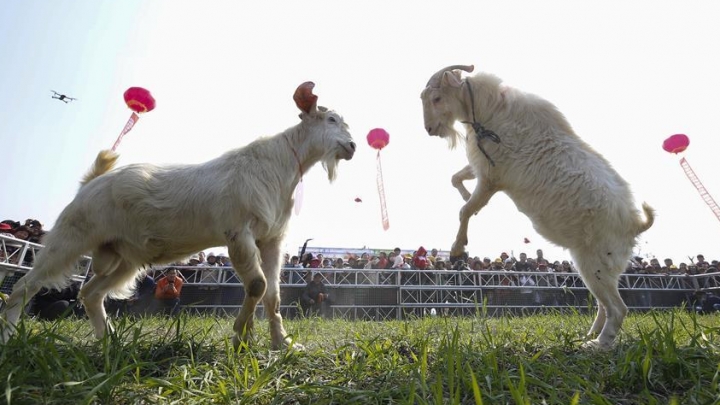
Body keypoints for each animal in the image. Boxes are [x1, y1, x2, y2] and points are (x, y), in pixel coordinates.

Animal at [1, 82, 356, 350]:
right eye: (330, 120)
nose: (352, 146)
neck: (279, 165)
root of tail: (90, 183)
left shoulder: (271, 239)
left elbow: (273, 294)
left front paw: (282, 343)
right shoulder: (238, 232)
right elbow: (256, 285)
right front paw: (241, 336)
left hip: (124, 257)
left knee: (90, 293)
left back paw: (109, 340)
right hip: (70, 236)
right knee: (25, 286)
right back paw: (10, 336)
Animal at [420, 65, 654, 349]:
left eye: (437, 98)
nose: (430, 128)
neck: (492, 111)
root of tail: (635, 224)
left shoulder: (492, 178)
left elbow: (464, 210)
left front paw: (457, 249)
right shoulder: (485, 171)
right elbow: (456, 179)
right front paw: (464, 197)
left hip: (596, 262)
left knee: (618, 308)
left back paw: (598, 345)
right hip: (594, 266)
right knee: (604, 305)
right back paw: (589, 336)